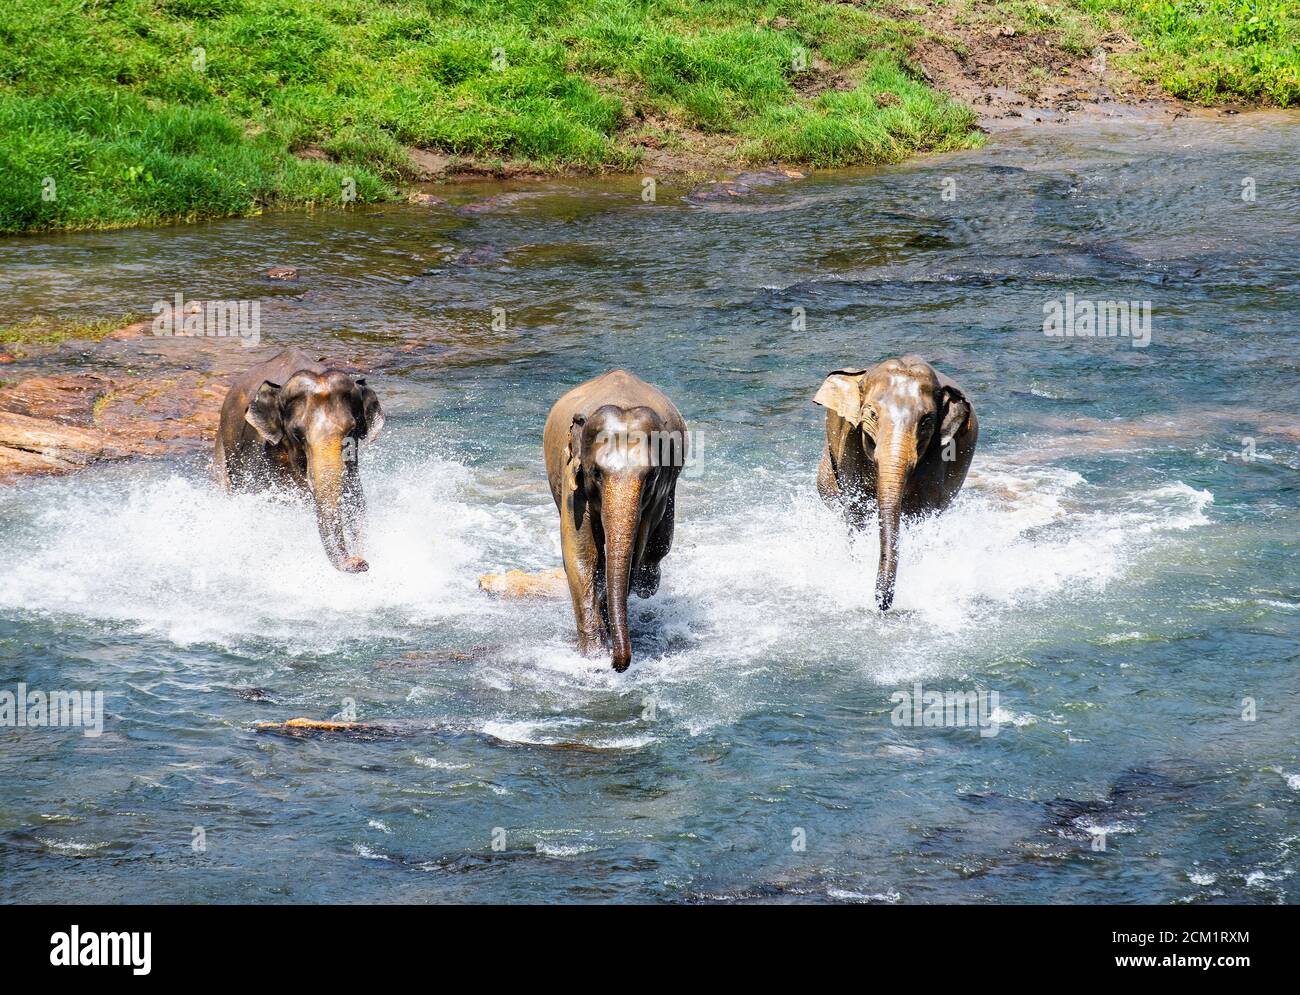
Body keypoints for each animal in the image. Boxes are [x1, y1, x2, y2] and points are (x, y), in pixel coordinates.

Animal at [543, 370, 688, 672]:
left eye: (651, 476)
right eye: (596, 473)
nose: (616, 665)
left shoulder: (659, 491)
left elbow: (635, 550)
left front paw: (606, 633)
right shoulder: (572, 477)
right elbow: (579, 553)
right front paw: (594, 655)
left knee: (659, 544)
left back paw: (647, 588)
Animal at [814, 356, 977, 611]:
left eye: (926, 421)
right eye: (872, 414)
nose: (882, 603)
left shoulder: (938, 453)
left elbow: (920, 512)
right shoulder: (850, 440)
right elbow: (857, 509)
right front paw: (856, 569)